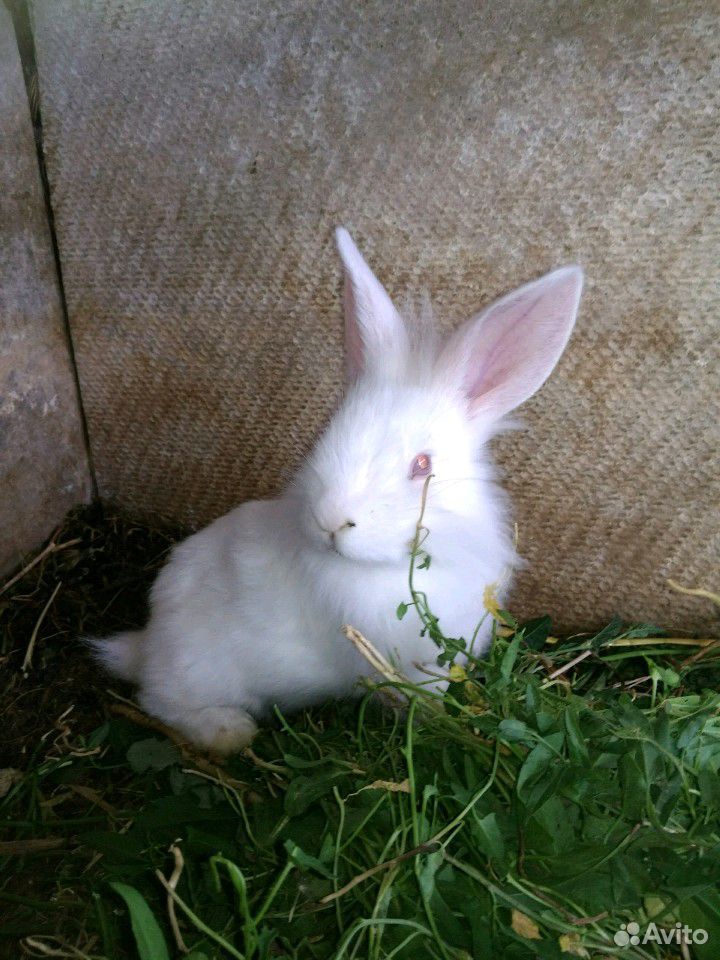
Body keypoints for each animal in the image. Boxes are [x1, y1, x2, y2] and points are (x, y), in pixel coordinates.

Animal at [91, 228, 583, 755]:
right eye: (327, 435)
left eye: (422, 465)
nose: (332, 520)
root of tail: (148, 645)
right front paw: (432, 719)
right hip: (201, 674)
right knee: (158, 702)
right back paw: (228, 731)